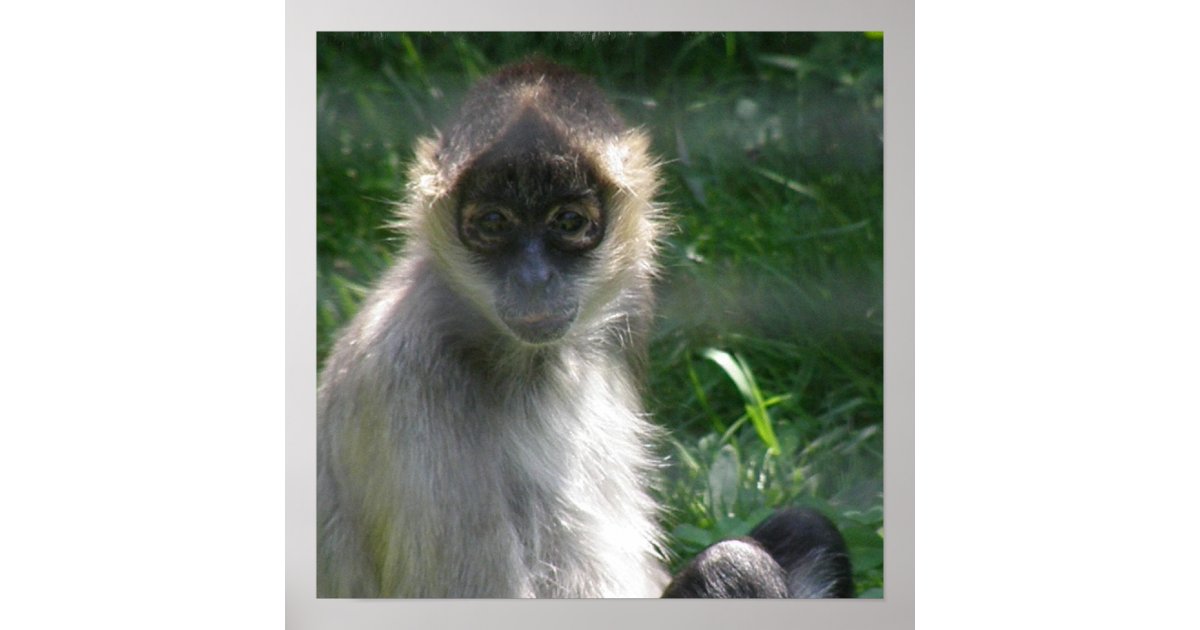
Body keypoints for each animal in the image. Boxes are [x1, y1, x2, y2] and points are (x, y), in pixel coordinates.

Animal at [317, 59, 855, 599]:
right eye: (493, 223)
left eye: (569, 222)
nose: (534, 277)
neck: (535, 362)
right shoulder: (408, 369)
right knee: (733, 564)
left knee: (805, 526)